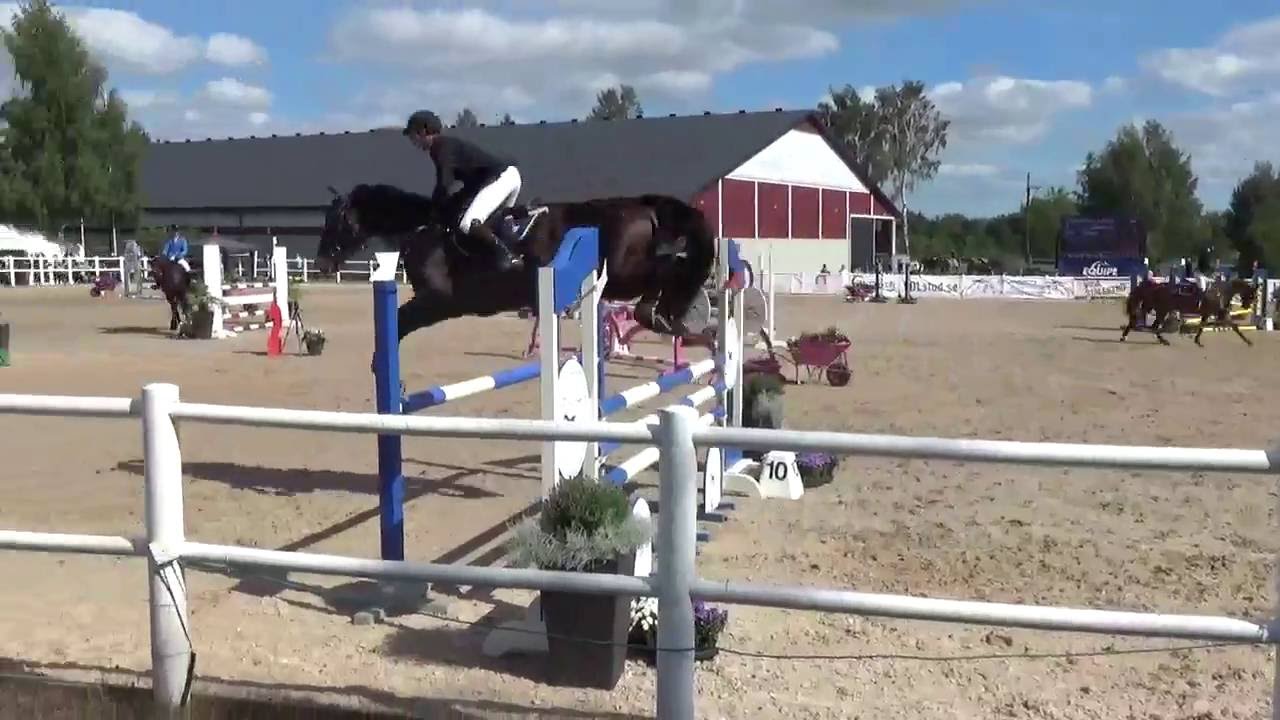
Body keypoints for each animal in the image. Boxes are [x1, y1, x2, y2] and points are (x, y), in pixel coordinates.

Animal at [315, 183, 717, 348]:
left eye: (335, 220)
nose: (322, 263)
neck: (426, 227)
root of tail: (644, 205)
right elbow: (400, 323)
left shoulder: (440, 301)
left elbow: (399, 322)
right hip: (619, 278)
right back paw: (669, 318)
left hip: (620, 274)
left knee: (667, 271)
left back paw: (665, 316)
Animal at [1122, 277, 1257, 346]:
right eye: (1252, 295)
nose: (1246, 306)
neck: (1220, 293)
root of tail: (1155, 286)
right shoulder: (1221, 313)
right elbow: (1235, 326)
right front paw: (1248, 342)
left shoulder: (1209, 314)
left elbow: (1203, 326)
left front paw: (1197, 340)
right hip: (1162, 310)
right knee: (1151, 325)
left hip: (1154, 309)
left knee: (1140, 321)